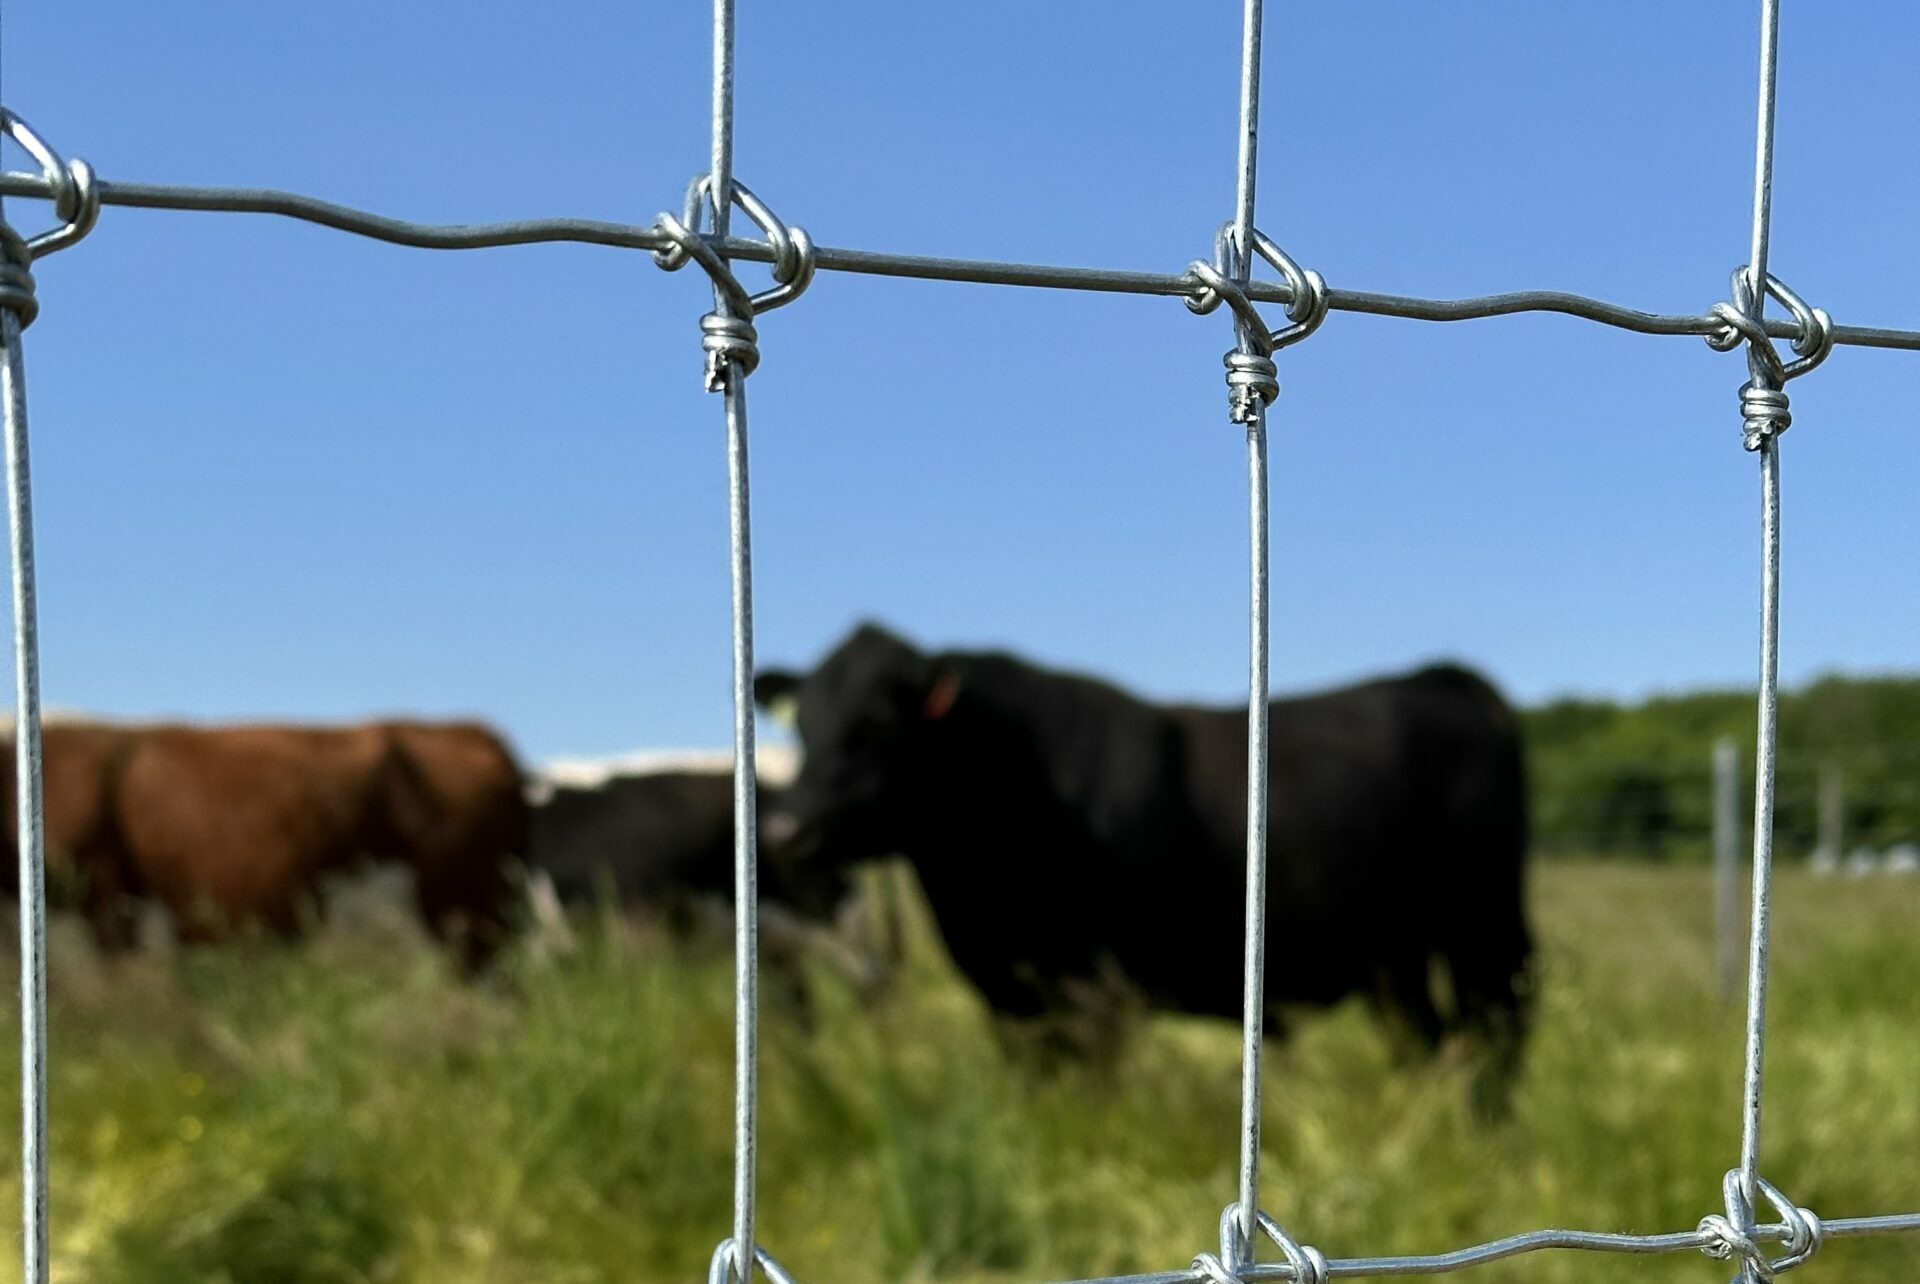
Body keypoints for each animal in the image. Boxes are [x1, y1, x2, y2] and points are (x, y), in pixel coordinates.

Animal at [753, 623, 1533, 1096]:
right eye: (804, 723)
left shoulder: (1095, 987)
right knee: (1432, 1044)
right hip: (1394, 961)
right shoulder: (1007, 994)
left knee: (1499, 1034)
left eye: (875, 727)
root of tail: (1441, 676)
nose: (787, 828)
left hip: (1485, 928)